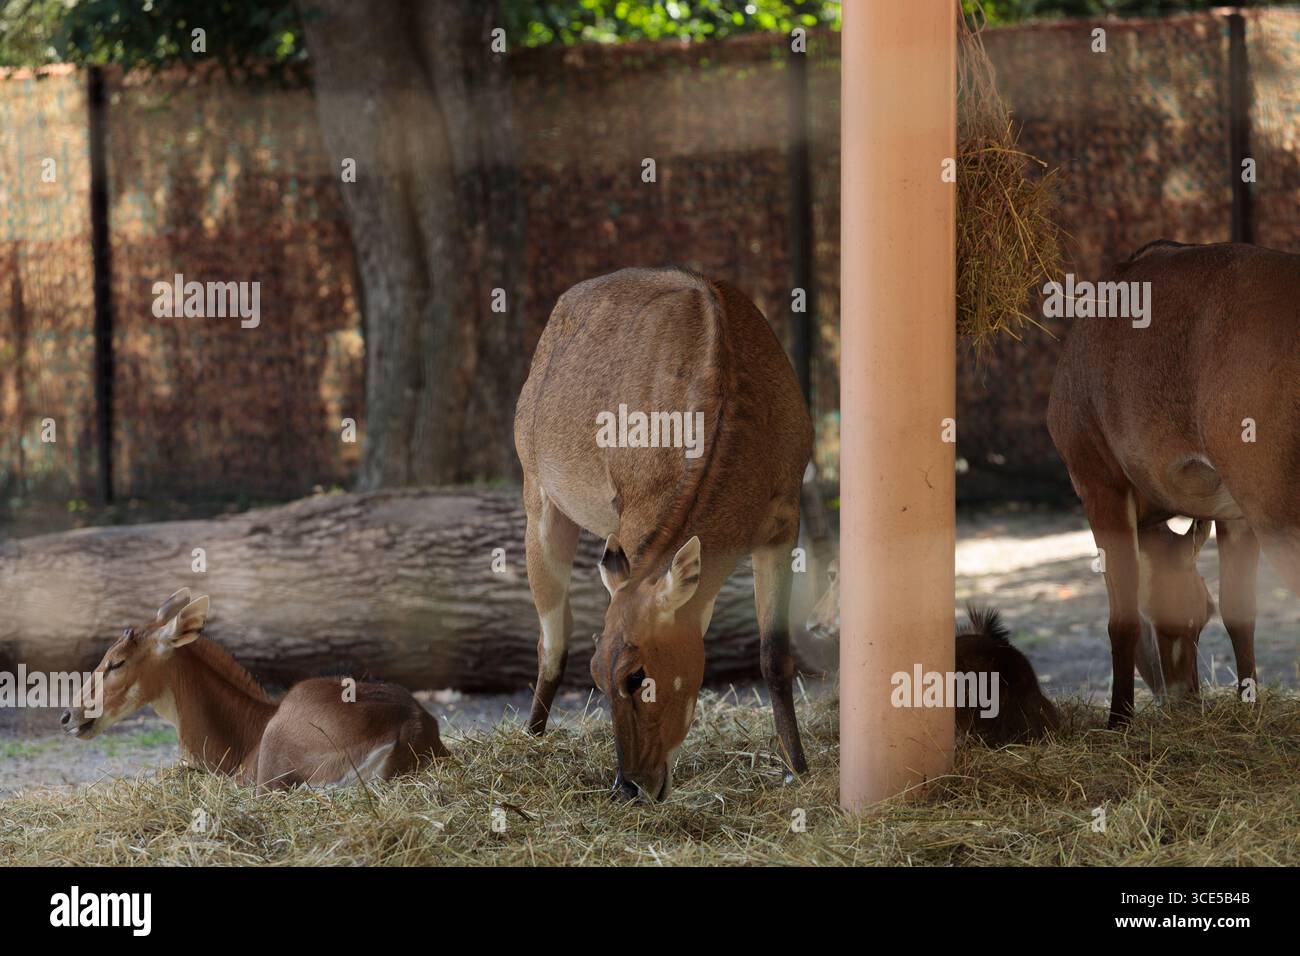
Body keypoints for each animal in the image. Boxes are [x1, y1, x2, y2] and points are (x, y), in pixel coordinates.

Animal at [515, 266, 812, 801]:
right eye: (597, 675)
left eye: (636, 675)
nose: (631, 787)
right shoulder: (634, 517)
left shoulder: (783, 521)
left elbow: (774, 657)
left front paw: (797, 768)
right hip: (540, 500)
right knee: (551, 640)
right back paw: (532, 737)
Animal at [1048, 240, 1298, 725]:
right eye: (1201, 613)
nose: (1185, 696)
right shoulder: (1233, 514)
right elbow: (1241, 614)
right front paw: (1249, 708)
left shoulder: (1098, 484)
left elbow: (1122, 617)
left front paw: (1118, 720)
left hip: (1277, 510)